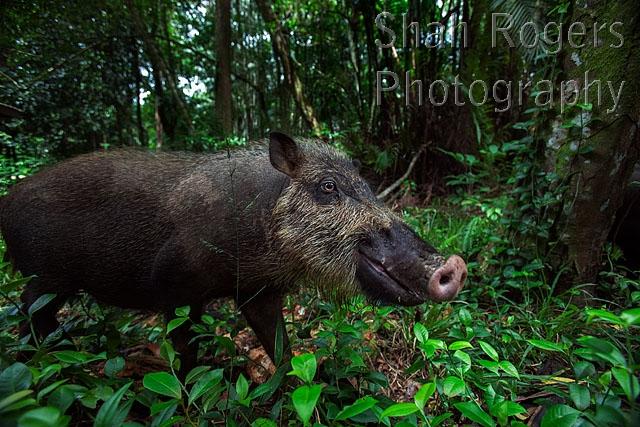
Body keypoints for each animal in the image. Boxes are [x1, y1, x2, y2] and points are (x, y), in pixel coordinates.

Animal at [0, 132, 467, 372]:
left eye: (368, 186)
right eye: (328, 187)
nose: (454, 265)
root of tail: (7, 200)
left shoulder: (258, 293)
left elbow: (280, 348)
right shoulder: (175, 290)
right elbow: (186, 352)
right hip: (41, 279)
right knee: (29, 320)